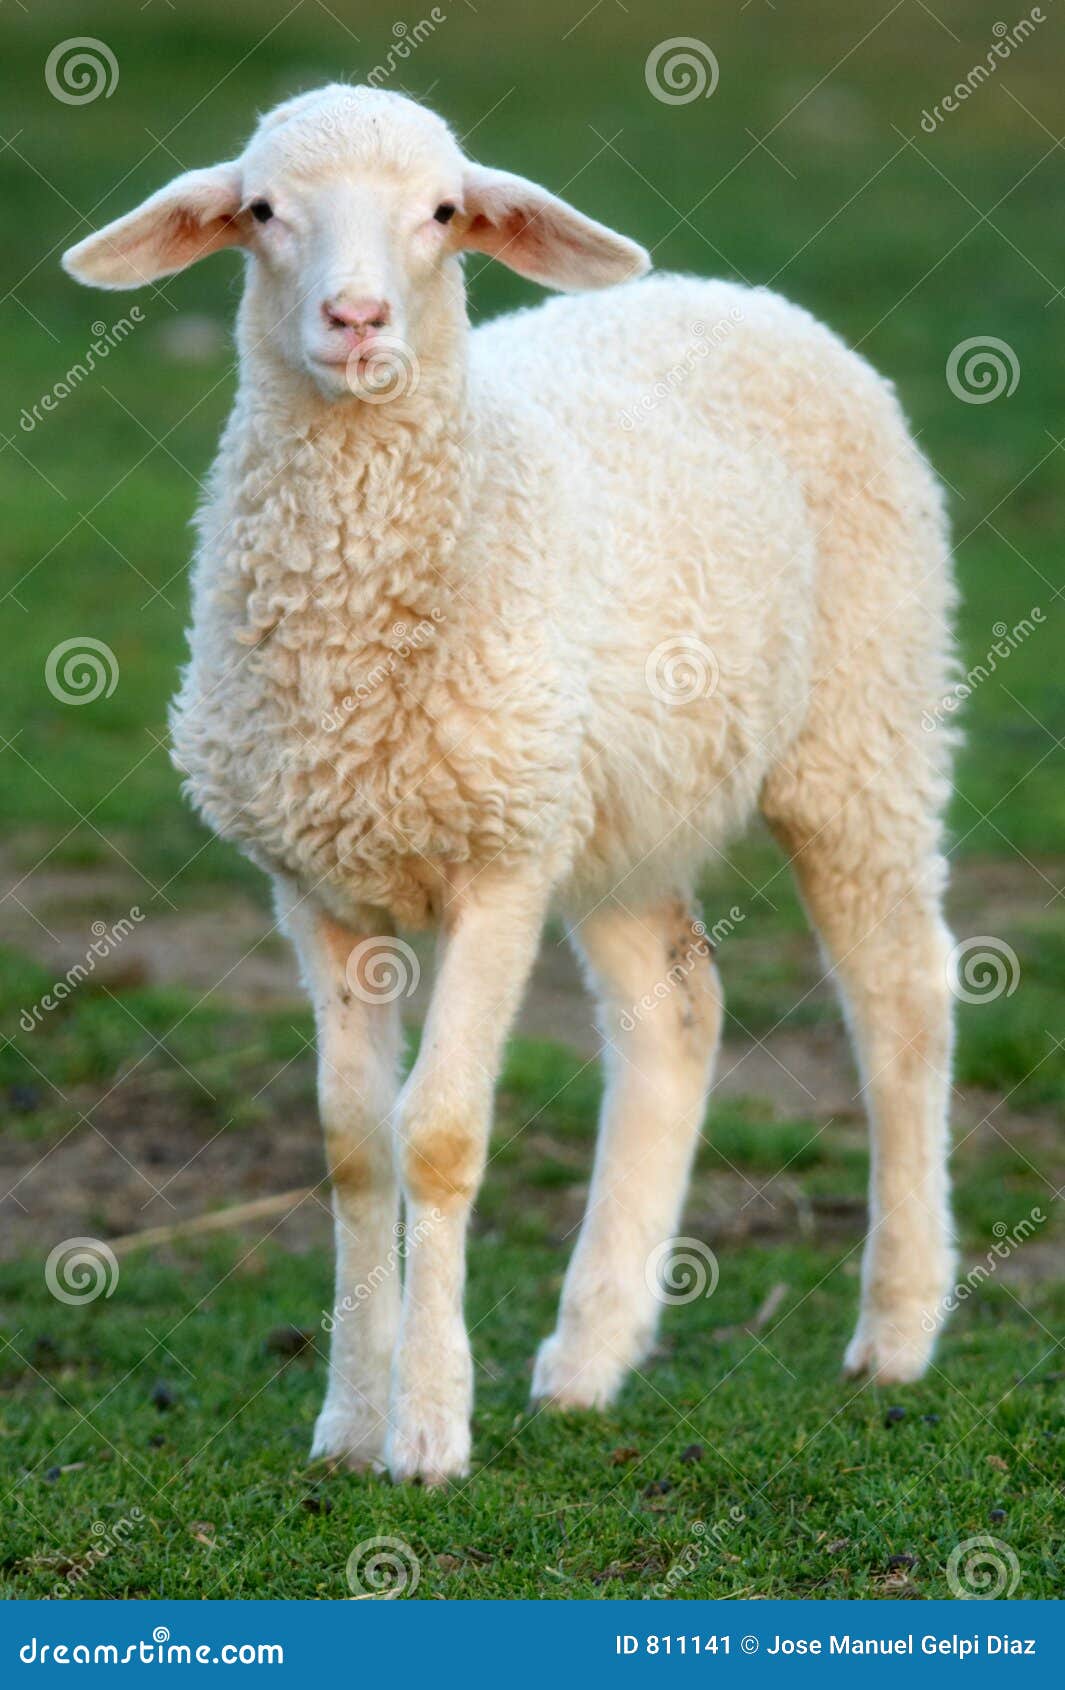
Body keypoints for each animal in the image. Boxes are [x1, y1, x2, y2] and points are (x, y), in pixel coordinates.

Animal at [63, 83, 959, 1486]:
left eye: (443, 213)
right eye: (262, 211)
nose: (357, 320)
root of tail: (740, 294)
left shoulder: (498, 863)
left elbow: (437, 1135)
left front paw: (429, 1430)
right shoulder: (318, 882)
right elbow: (351, 1144)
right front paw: (348, 1421)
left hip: (862, 722)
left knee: (904, 998)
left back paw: (898, 1329)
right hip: (613, 802)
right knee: (676, 1014)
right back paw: (590, 1354)